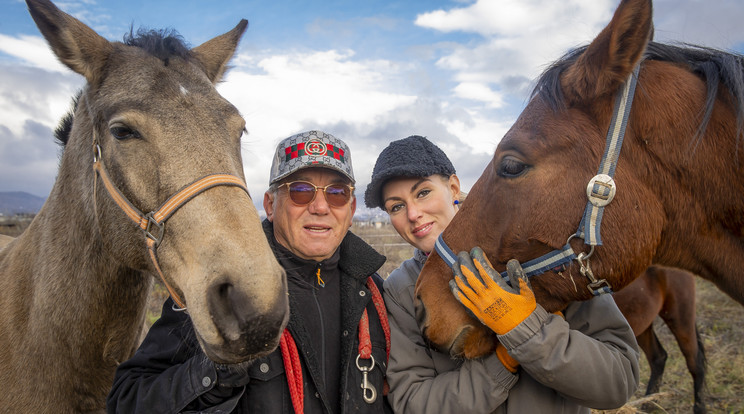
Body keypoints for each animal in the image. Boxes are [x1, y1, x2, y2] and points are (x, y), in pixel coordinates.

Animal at [612, 266, 708, 412]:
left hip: (680, 317)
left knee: (695, 364)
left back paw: (700, 408)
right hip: (641, 321)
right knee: (658, 357)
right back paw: (649, 404)